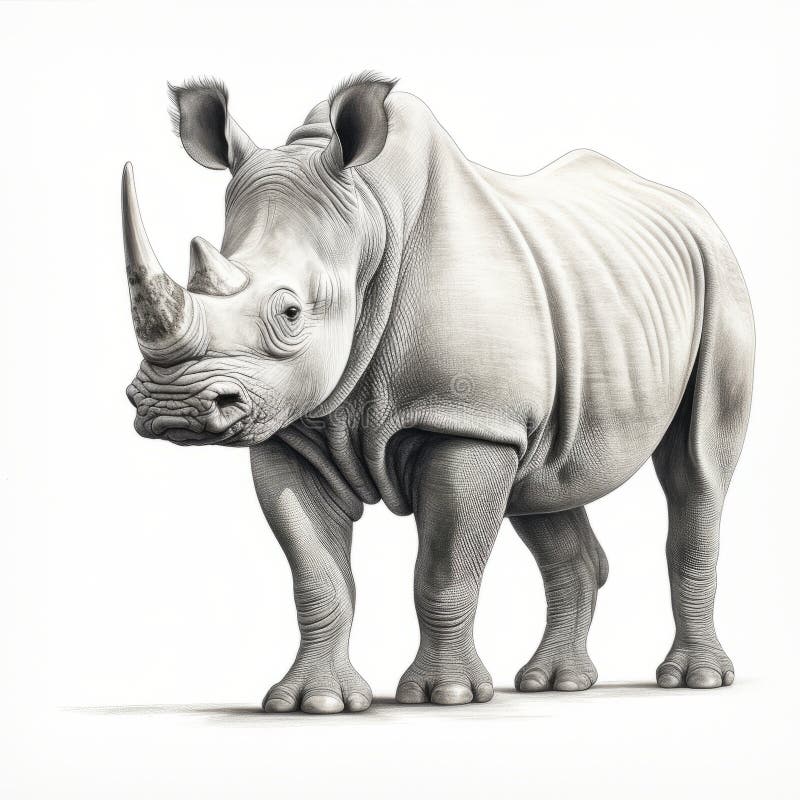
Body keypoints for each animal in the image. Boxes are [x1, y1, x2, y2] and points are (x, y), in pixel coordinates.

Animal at [123, 73, 754, 713]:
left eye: (290, 312)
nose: (172, 407)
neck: (368, 221)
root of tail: (693, 211)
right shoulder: (291, 426)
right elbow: (316, 575)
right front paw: (311, 703)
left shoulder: (468, 421)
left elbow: (443, 569)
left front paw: (445, 695)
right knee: (546, 483)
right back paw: (554, 683)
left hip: (721, 276)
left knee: (696, 469)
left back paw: (694, 680)